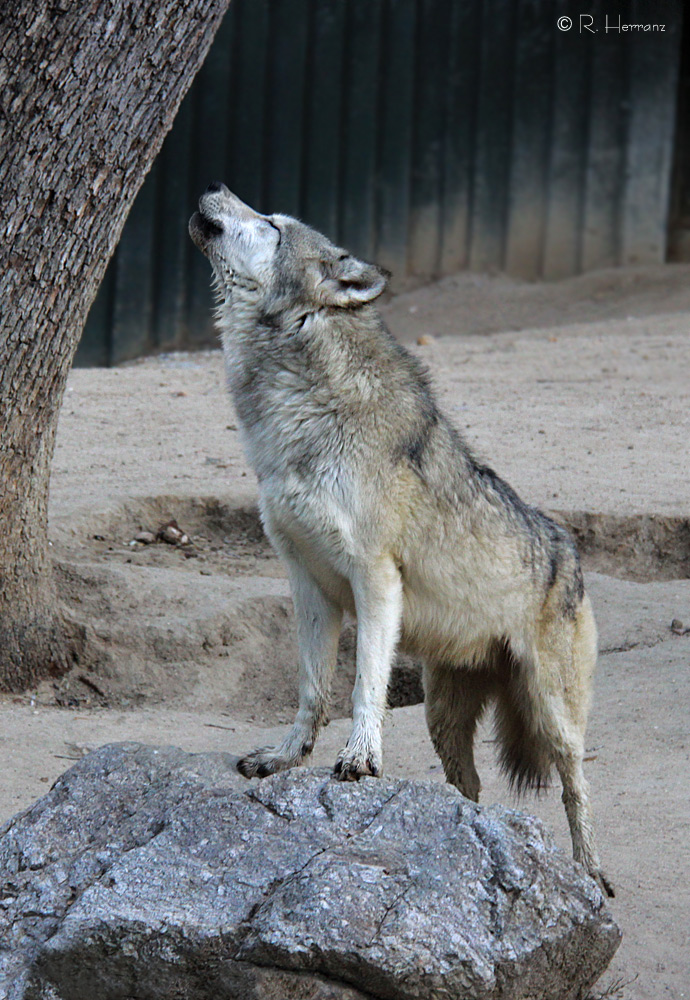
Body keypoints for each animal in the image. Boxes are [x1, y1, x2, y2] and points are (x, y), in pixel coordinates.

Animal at [189, 183, 613, 896]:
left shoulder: (374, 575)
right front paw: (285, 758)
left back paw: (590, 874)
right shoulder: (305, 580)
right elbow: (312, 688)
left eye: (271, 224)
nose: (213, 190)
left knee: (575, 783)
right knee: (471, 786)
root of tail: (569, 550)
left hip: (551, 711)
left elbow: (365, 684)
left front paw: (360, 760)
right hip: (445, 716)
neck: (293, 411)